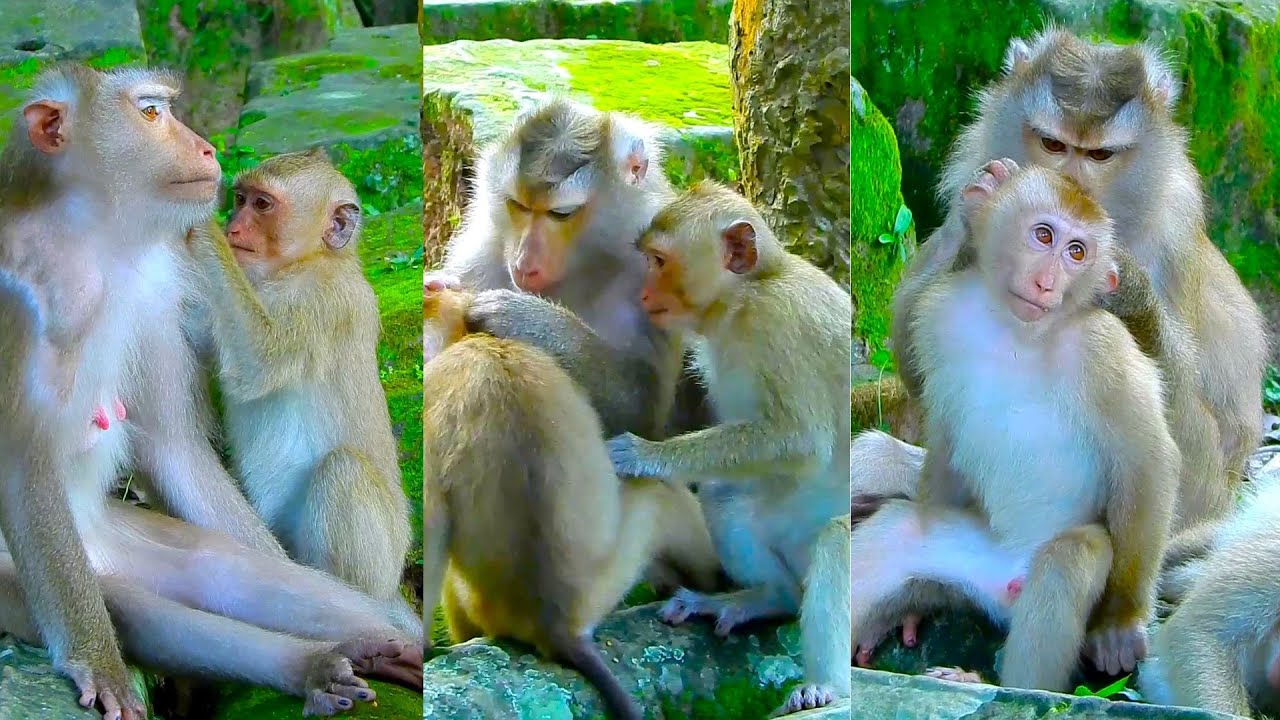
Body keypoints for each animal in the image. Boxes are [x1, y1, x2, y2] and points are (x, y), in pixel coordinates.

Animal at [187, 149, 415, 631]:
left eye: (262, 205)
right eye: (241, 199)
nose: (233, 228)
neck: (306, 263)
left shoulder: (322, 301)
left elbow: (257, 363)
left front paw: (203, 232)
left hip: (380, 564)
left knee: (343, 469)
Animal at [603, 183, 851, 709]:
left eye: (659, 261)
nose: (643, 293)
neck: (743, 299)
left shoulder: (781, 324)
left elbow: (801, 440)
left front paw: (644, 455)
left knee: (837, 541)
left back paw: (828, 686)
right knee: (726, 494)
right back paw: (769, 597)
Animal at [848, 160, 1180, 693]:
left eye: (1077, 252)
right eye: (1043, 235)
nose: (1048, 283)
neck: (1016, 331)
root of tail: (1002, 584)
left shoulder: (1103, 348)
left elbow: (1145, 462)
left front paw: (1120, 623)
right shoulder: (938, 315)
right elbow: (934, 412)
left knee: (1072, 557)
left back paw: (1001, 684)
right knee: (896, 531)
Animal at [887, 29, 1264, 531]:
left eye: (1100, 154)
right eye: (1053, 145)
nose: (1069, 193)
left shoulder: (1173, 238)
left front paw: (1131, 294)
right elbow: (917, 362)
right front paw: (985, 217)